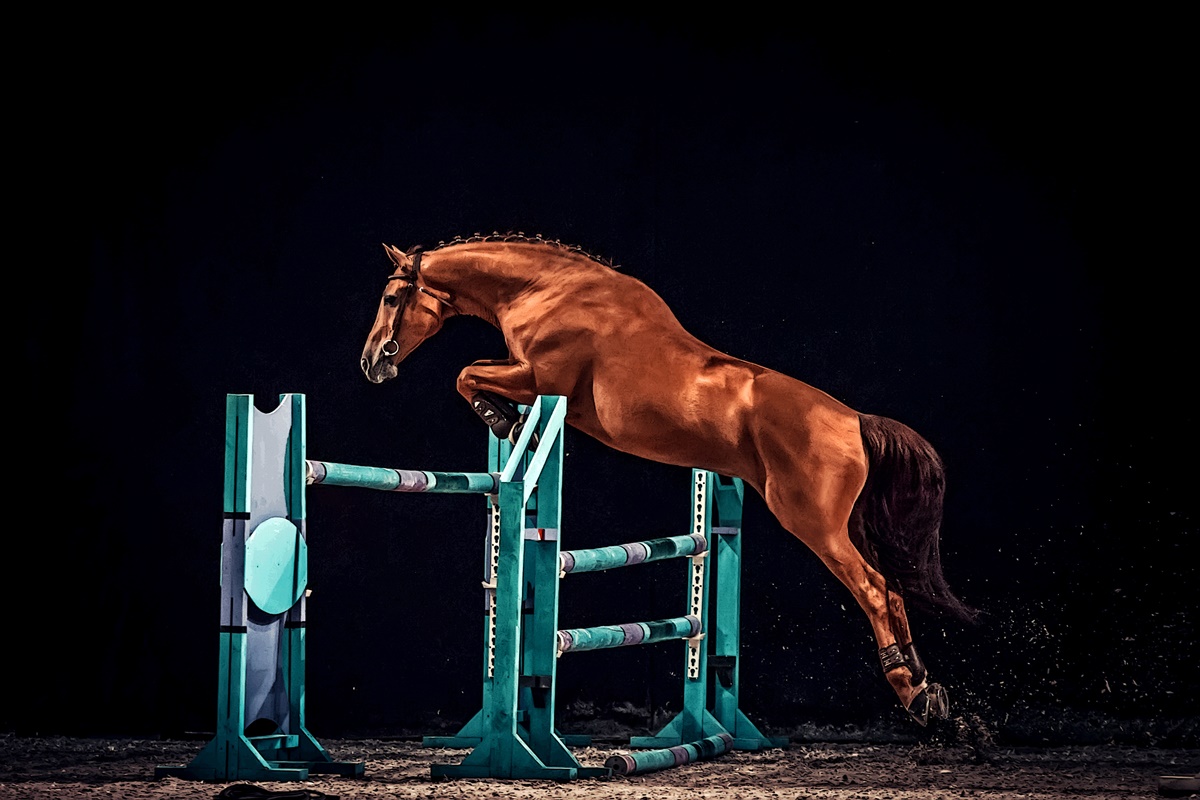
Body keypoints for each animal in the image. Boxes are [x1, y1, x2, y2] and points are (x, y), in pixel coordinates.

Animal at [359, 232, 977, 726]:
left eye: (391, 298)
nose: (371, 363)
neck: (544, 288)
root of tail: (853, 420)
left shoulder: (539, 378)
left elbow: (468, 375)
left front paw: (504, 420)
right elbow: (472, 376)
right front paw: (506, 420)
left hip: (812, 522)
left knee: (875, 588)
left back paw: (910, 691)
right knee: (891, 590)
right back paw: (928, 691)